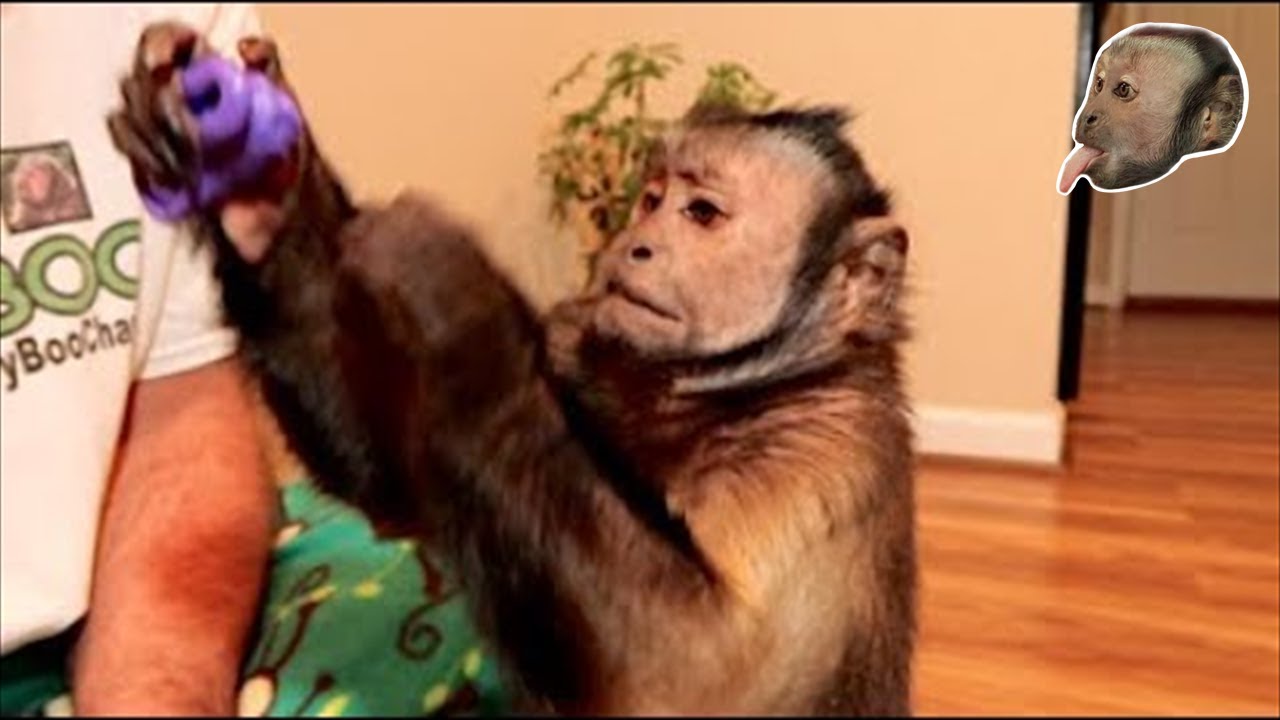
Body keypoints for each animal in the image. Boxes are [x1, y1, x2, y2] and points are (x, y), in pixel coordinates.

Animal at [106, 24, 916, 716]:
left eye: (704, 214)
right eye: (652, 201)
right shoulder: (579, 336)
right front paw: (264, 200)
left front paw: (446, 282)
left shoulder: (818, 456)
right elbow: (394, 487)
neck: (720, 389)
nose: (637, 243)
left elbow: (695, 680)